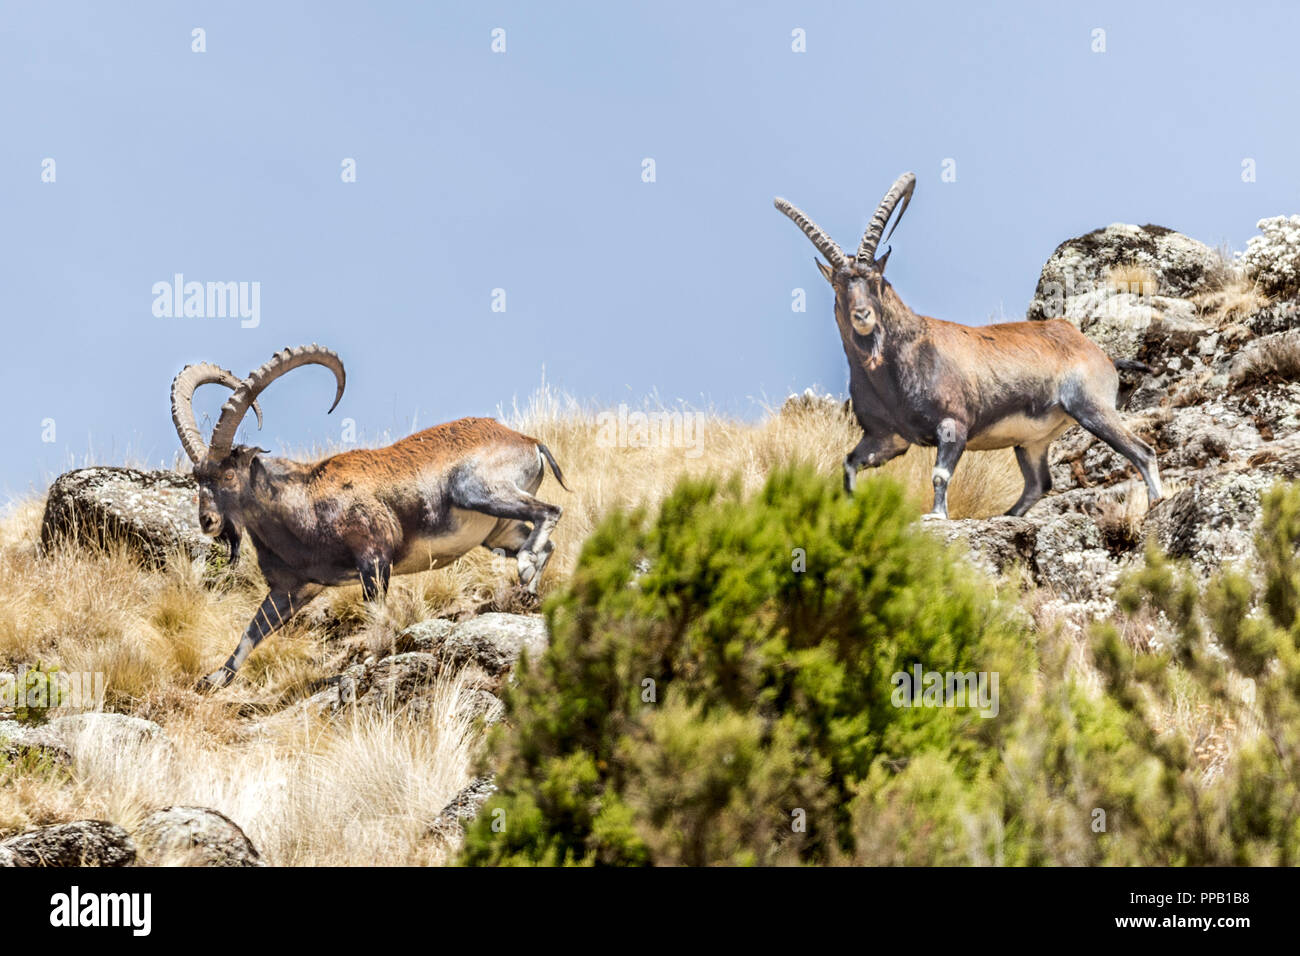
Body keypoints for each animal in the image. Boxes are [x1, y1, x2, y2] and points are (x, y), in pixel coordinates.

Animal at [170, 345, 567, 690]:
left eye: (227, 475)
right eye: (197, 477)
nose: (207, 521)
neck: (303, 502)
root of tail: (527, 441)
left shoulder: (374, 558)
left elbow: (375, 614)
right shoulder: (294, 588)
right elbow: (252, 632)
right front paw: (214, 679)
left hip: (479, 491)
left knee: (549, 511)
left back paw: (526, 568)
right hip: (497, 532)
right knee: (543, 540)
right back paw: (529, 587)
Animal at [774, 173, 1163, 518]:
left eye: (876, 279)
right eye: (839, 284)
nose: (862, 315)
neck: (897, 362)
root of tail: (1099, 354)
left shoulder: (953, 425)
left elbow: (939, 474)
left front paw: (936, 516)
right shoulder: (888, 438)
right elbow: (849, 464)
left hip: (1091, 407)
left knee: (1142, 451)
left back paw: (1157, 501)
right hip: (1031, 442)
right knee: (1039, 483)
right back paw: (1006, 517)